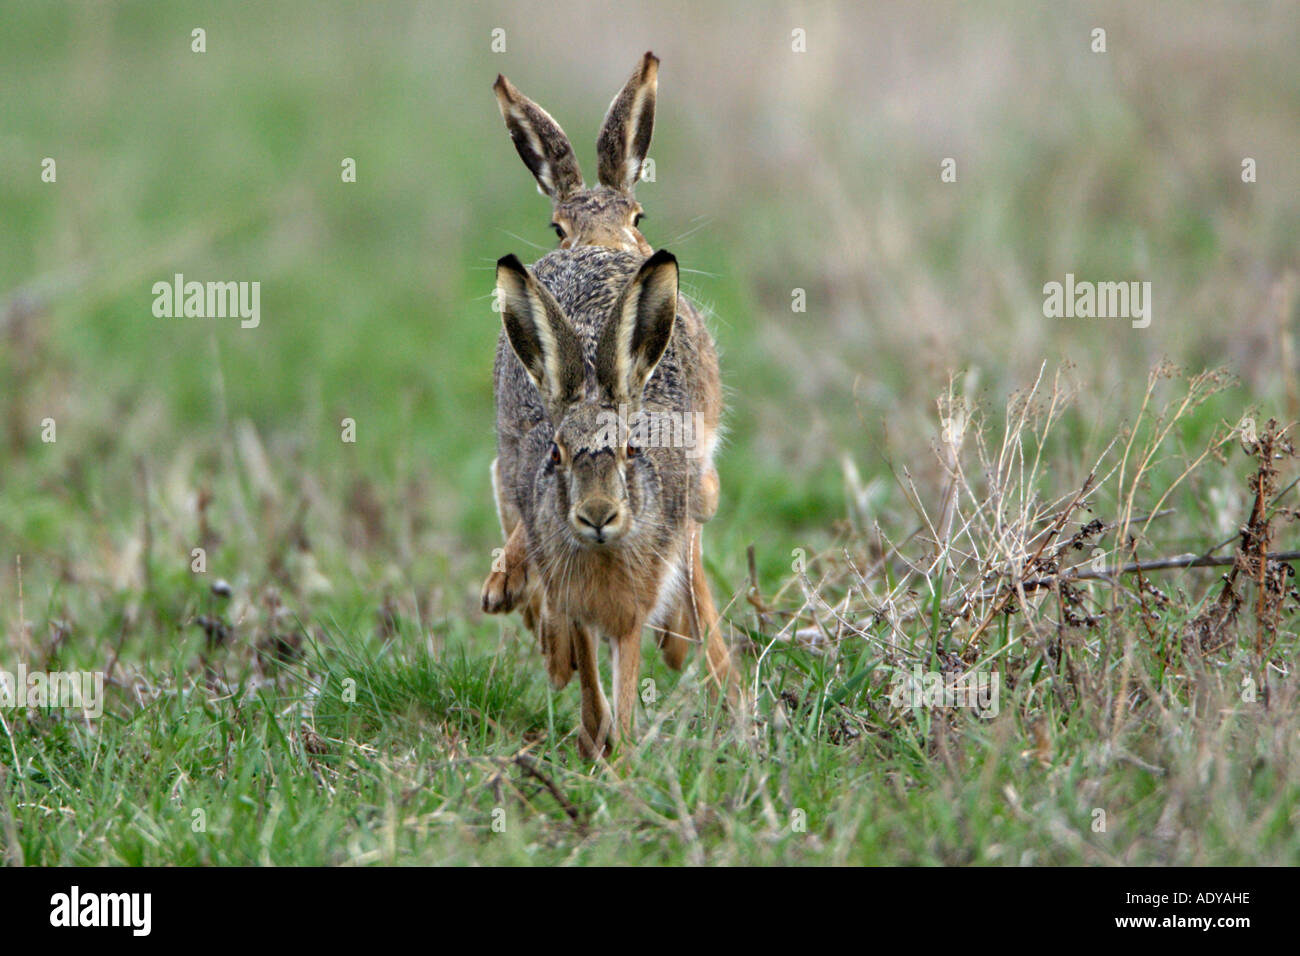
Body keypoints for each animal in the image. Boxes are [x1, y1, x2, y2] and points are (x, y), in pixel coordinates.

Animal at [486, 243, 735, 757]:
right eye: (556, 453)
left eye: (632, 450)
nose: (598, 515)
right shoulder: (575, 603)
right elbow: (590, 680)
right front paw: (596, 741)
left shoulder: (631, 614)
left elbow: (625, 688)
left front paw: (621, 759)